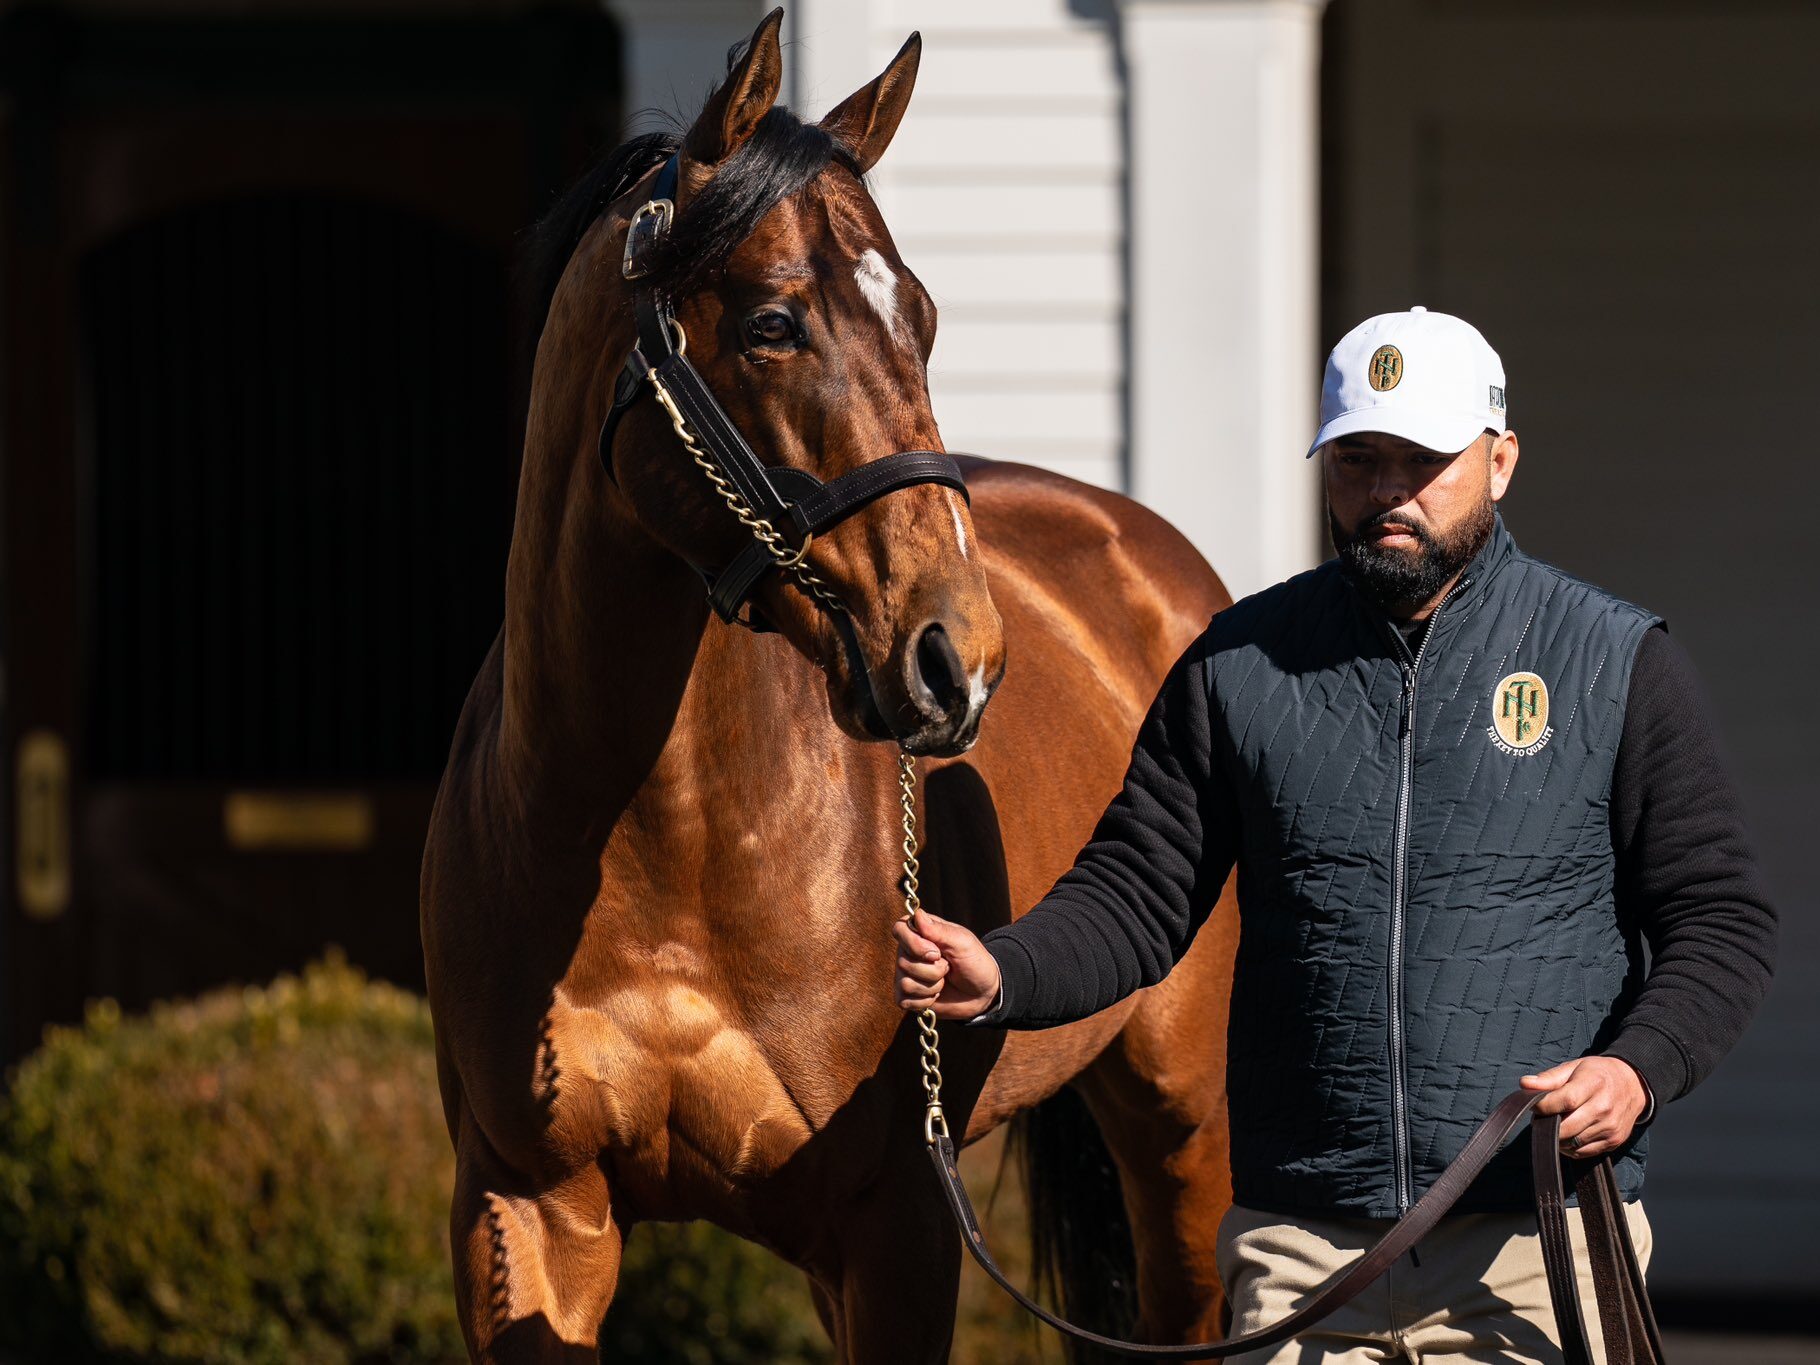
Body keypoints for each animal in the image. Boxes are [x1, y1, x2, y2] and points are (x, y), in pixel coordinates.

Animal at [420, 11, 1240, 1362]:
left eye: (921, 317)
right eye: (770, 322)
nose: (957, 656)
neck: (659, 850)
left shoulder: (899, 1227)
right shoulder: (527, 1214)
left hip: (1182, 1126)